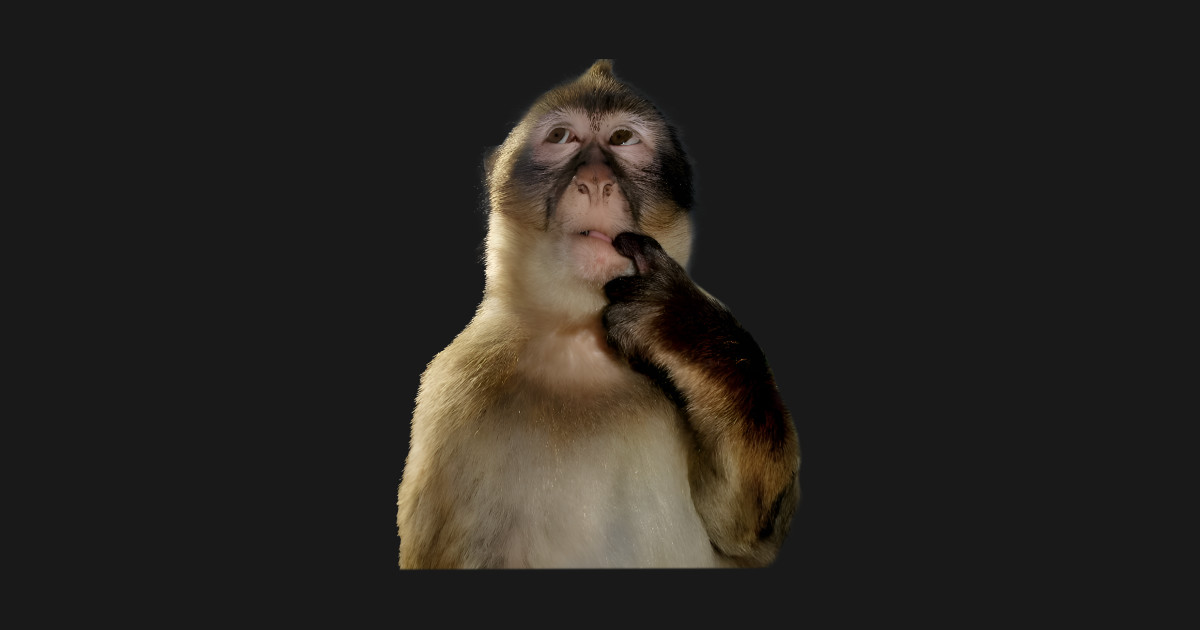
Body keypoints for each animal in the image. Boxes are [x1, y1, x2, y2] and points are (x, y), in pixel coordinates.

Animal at [396, 60, 799, 568]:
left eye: (623, 138)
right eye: (562, 137)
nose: (594, 182)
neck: (577, 341)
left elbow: (746, 533)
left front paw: (678, 322)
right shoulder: (452, 397)